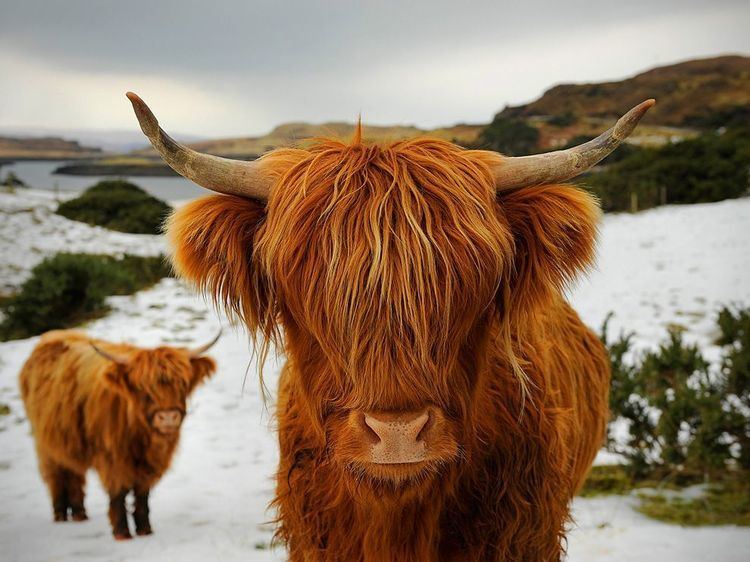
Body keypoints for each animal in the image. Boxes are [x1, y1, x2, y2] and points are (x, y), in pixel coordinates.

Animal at [19, 329, 219, 540]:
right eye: (142, 387)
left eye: (182, 383)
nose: (168, 417)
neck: (140, 437)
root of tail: (50, 336)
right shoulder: (112, 459)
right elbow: (118, 493)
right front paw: (122, 533)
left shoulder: (149, 465)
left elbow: (142, 495)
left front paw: (145, 530)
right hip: (46, 444)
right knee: (56, 475)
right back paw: (60, 515)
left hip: (69, 441)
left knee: (74, 474)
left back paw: (80, 514)